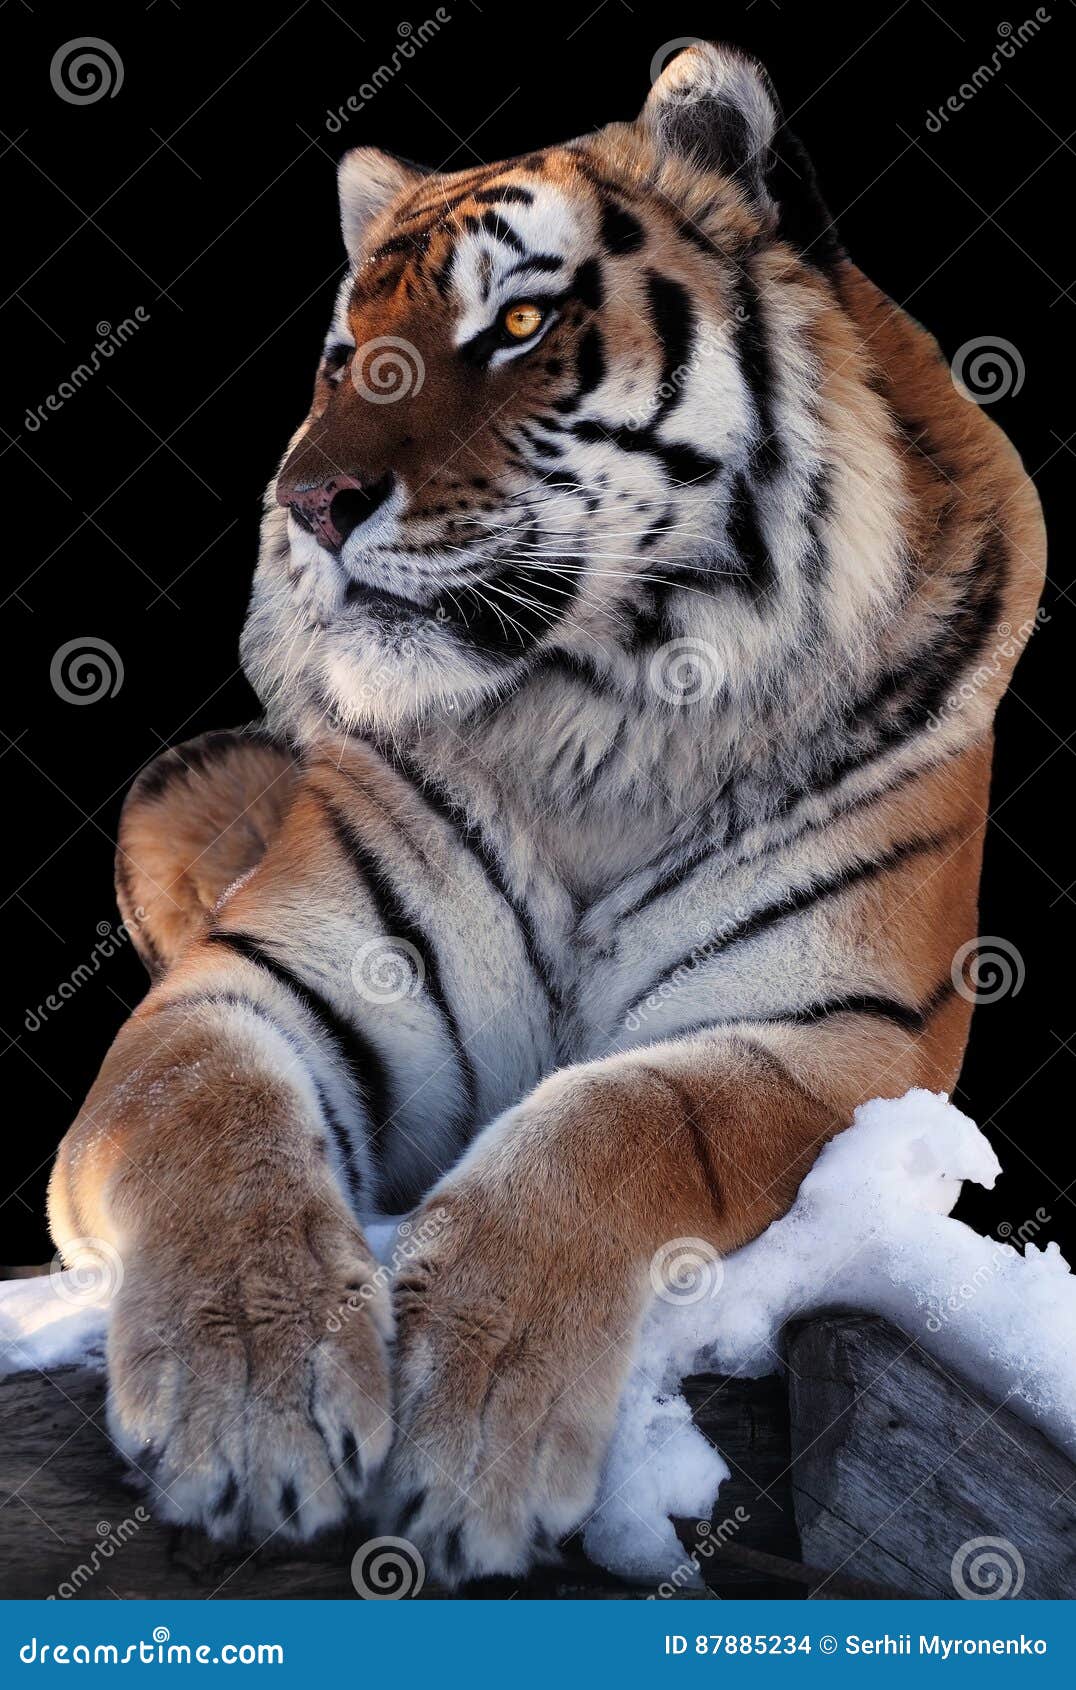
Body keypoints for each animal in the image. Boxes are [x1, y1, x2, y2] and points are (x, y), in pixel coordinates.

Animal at [49, 42, 1045, 1586]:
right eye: (342, 352)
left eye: (516, 321)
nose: (306, 501)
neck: (601, 721)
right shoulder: (251, 982)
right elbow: (209, 1121)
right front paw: (250, 1400)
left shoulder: (833, 1038)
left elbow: (612, 1119)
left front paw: (471, 1427)